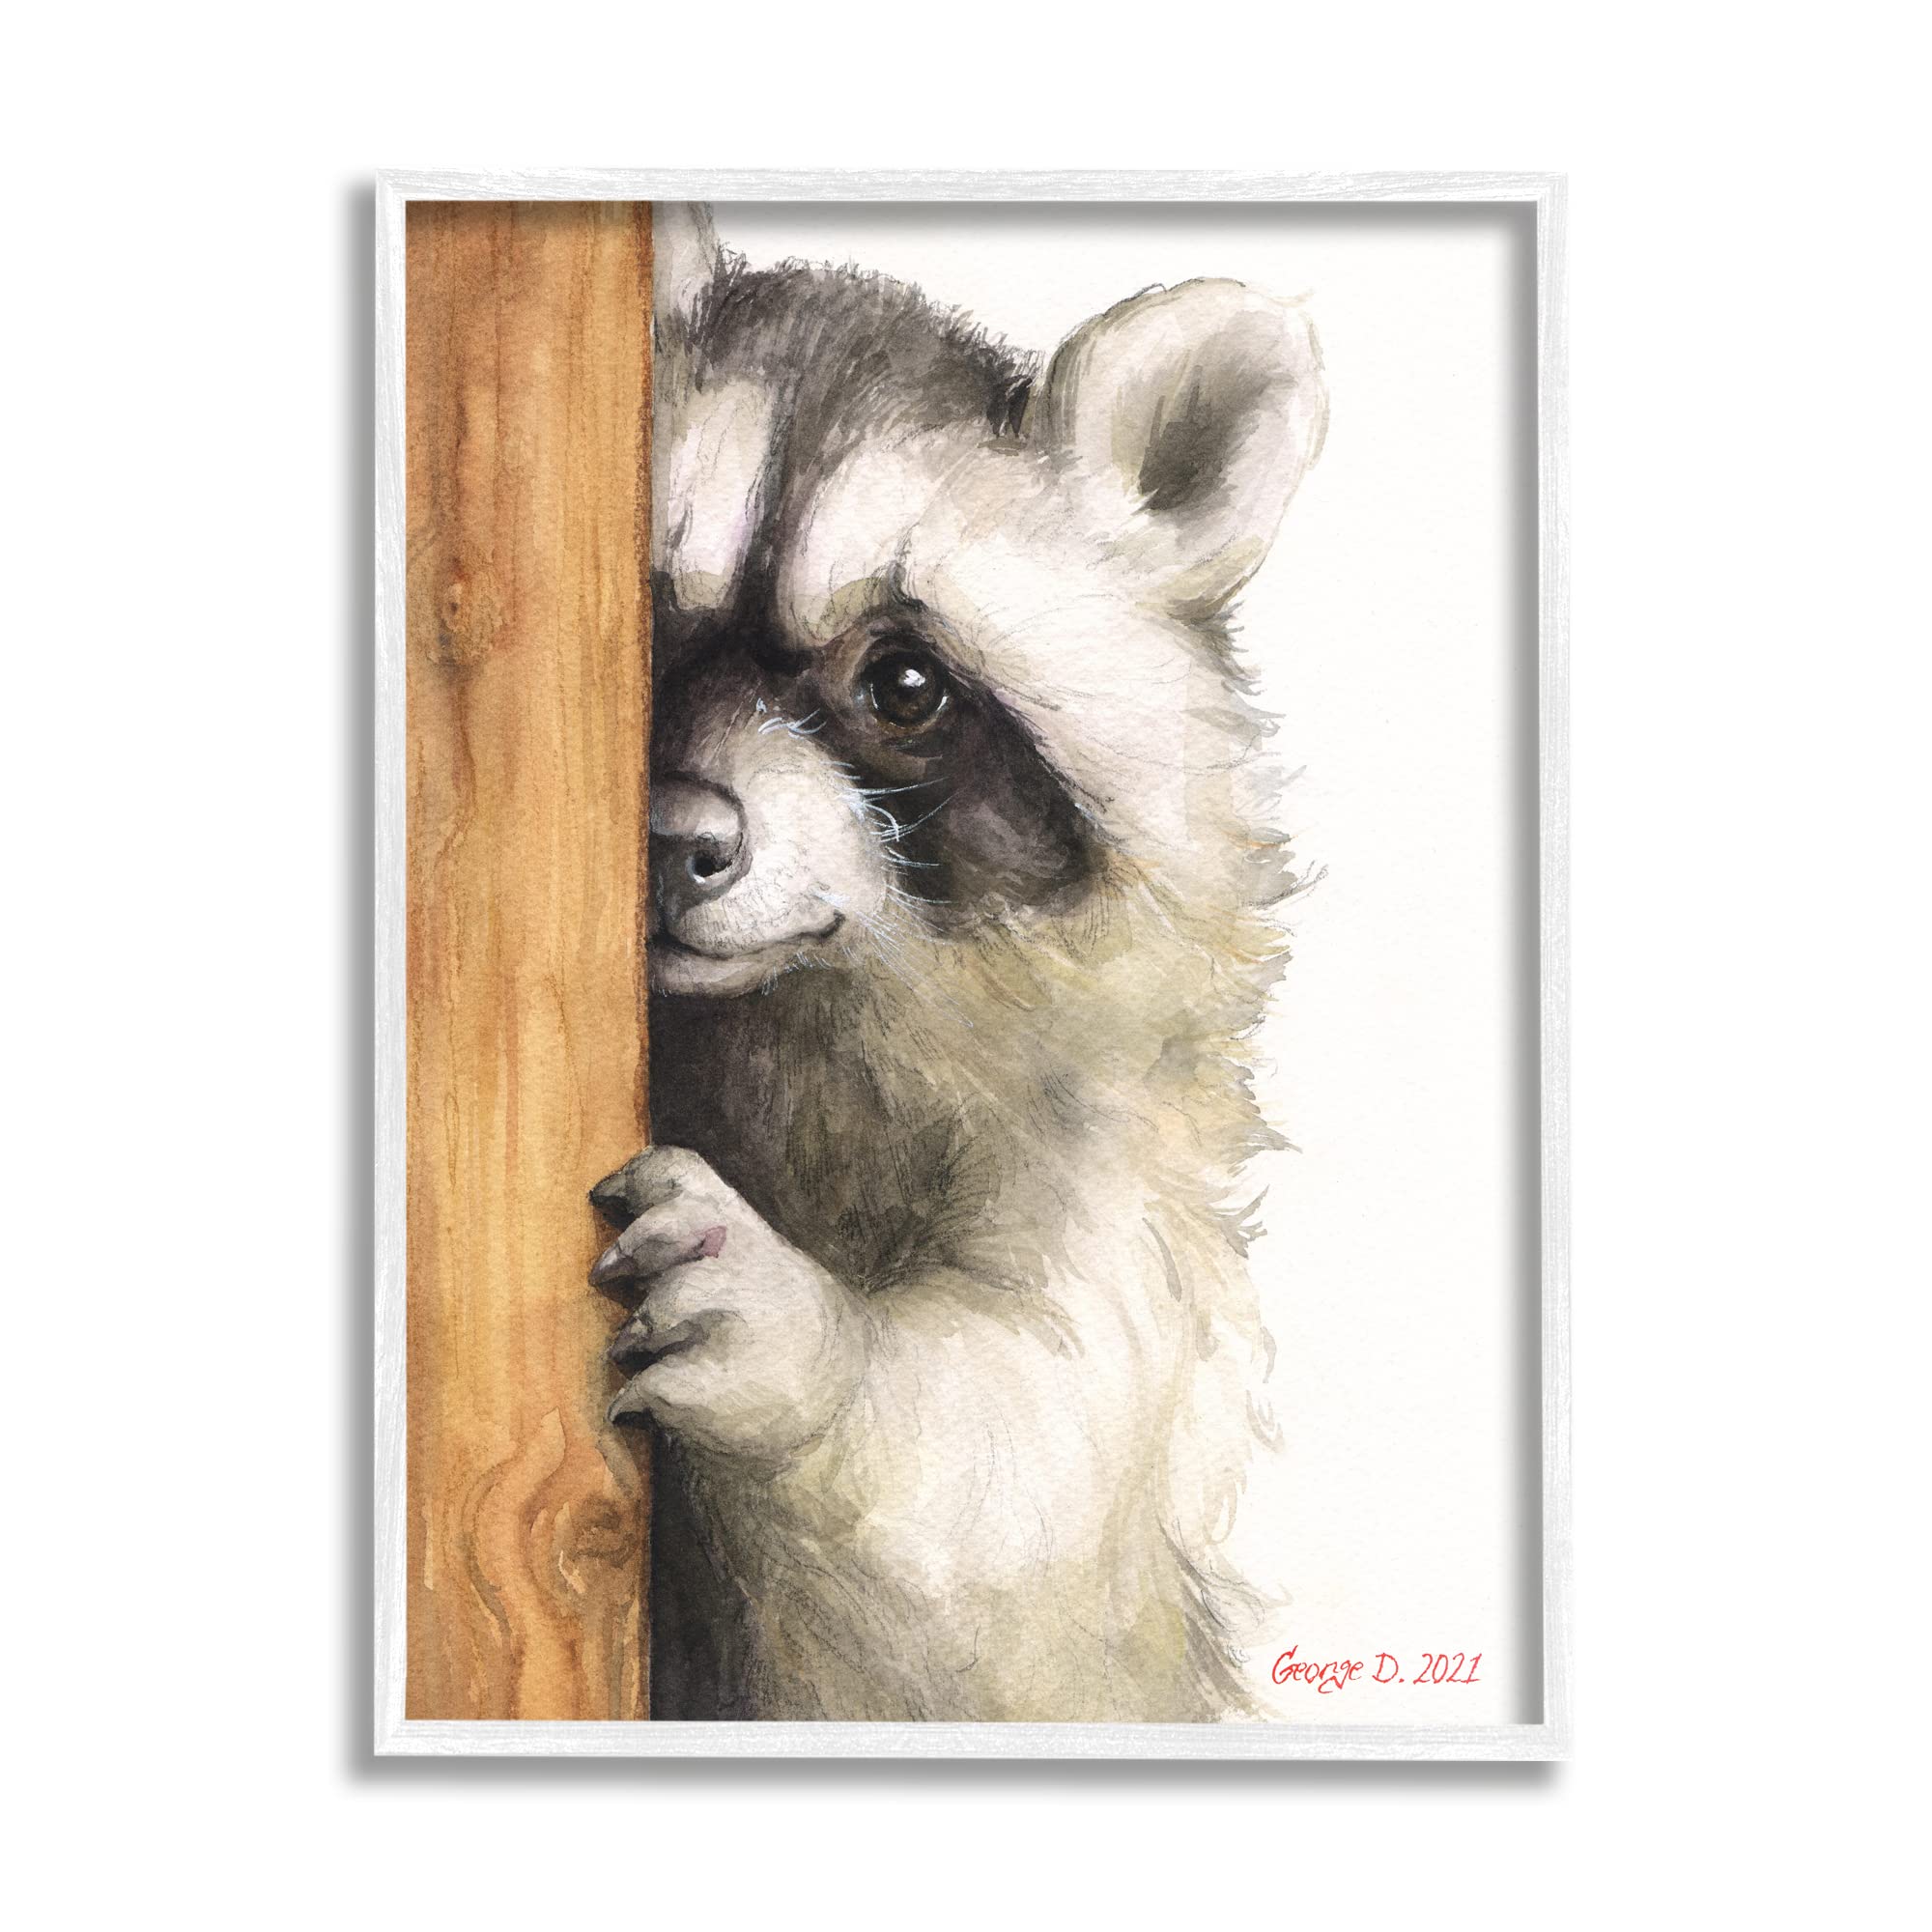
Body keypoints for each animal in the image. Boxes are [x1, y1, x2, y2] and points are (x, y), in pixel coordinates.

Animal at [589, 205, 1328, 1722]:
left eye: (905, 685)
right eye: (640, 627)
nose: (674, 843)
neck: (776, 1017)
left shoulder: (1117, 1169)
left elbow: (1022, 1484)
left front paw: (810, 1352)